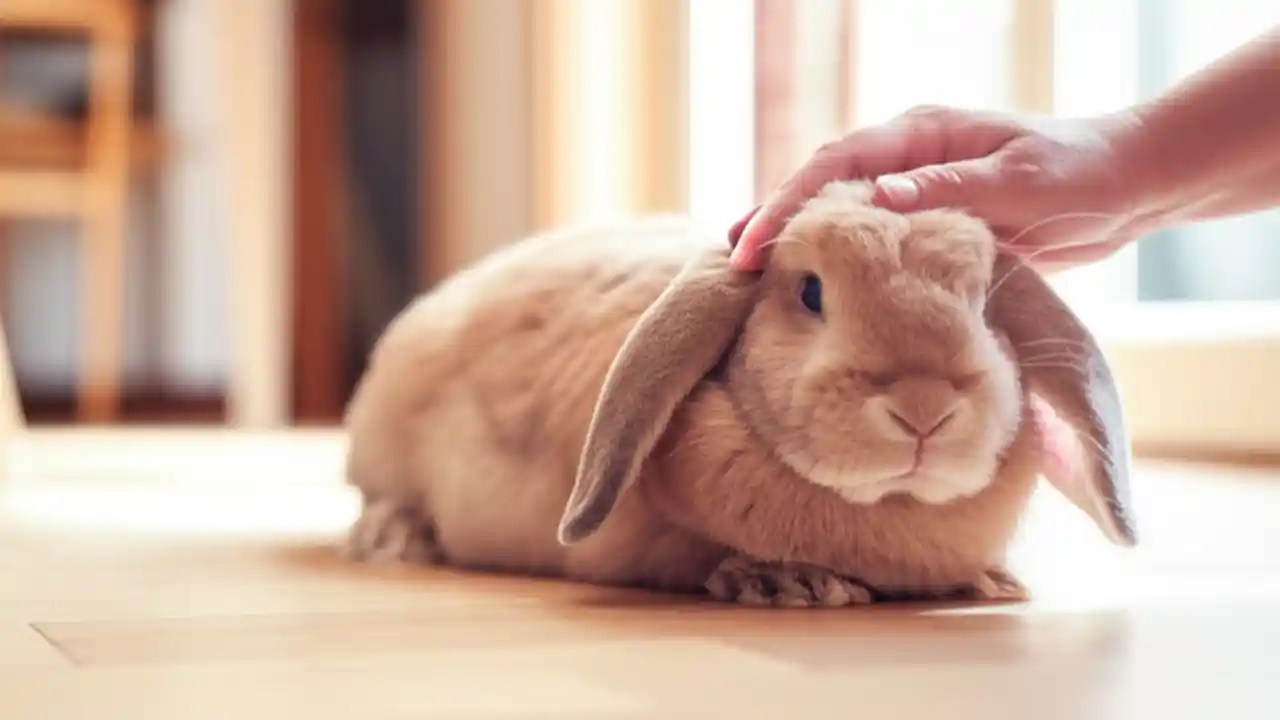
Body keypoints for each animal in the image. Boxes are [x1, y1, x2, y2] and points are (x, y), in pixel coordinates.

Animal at [343, 179, 1136, 607]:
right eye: (811, 292)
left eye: (982, 304)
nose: (923, 408)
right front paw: (791, 583)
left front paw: (989, 581)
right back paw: (396, 539)